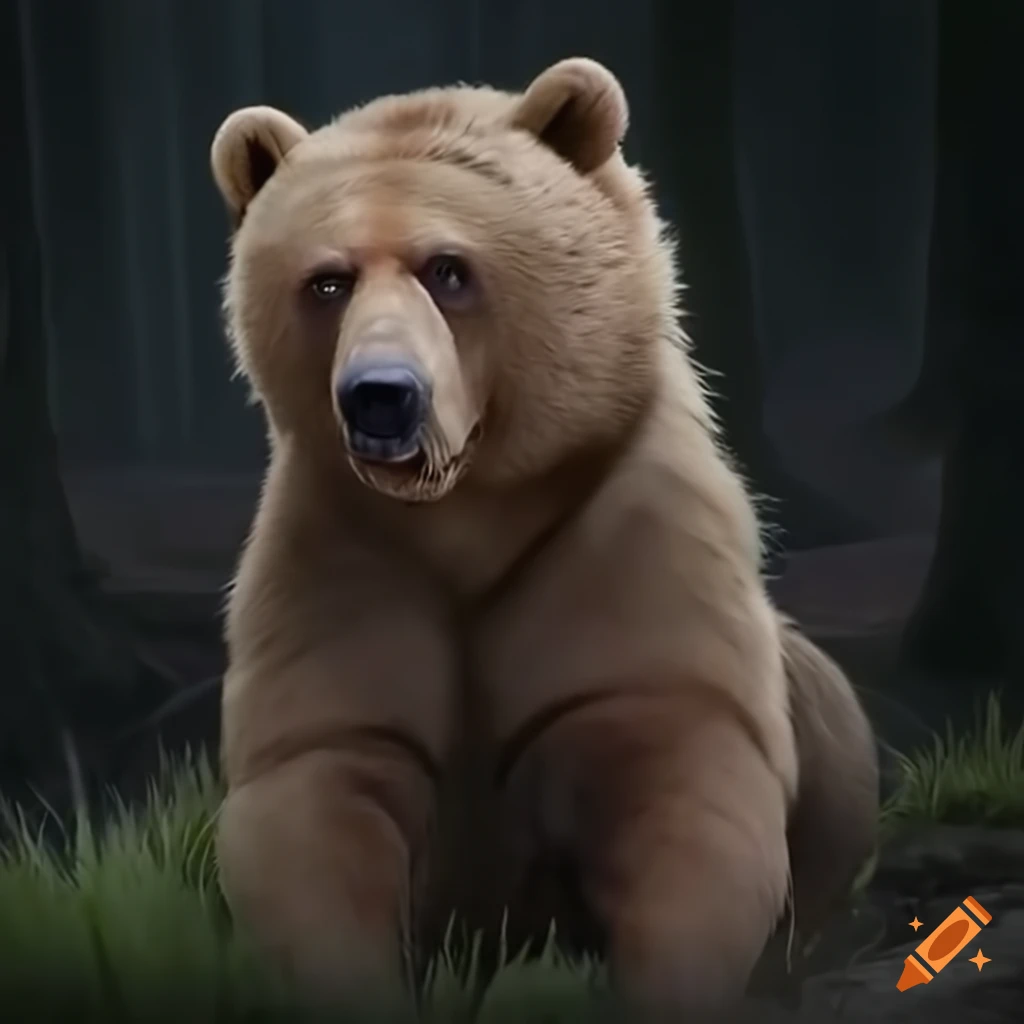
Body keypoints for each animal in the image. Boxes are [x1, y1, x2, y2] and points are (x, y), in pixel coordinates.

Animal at [209, 57, 879, 1019]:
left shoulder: (622, 548)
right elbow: (314, 797)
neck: (466, 518)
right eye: (326, 281)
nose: (382, 397)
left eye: (449, 269)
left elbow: (685, 783)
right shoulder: (341, 565)